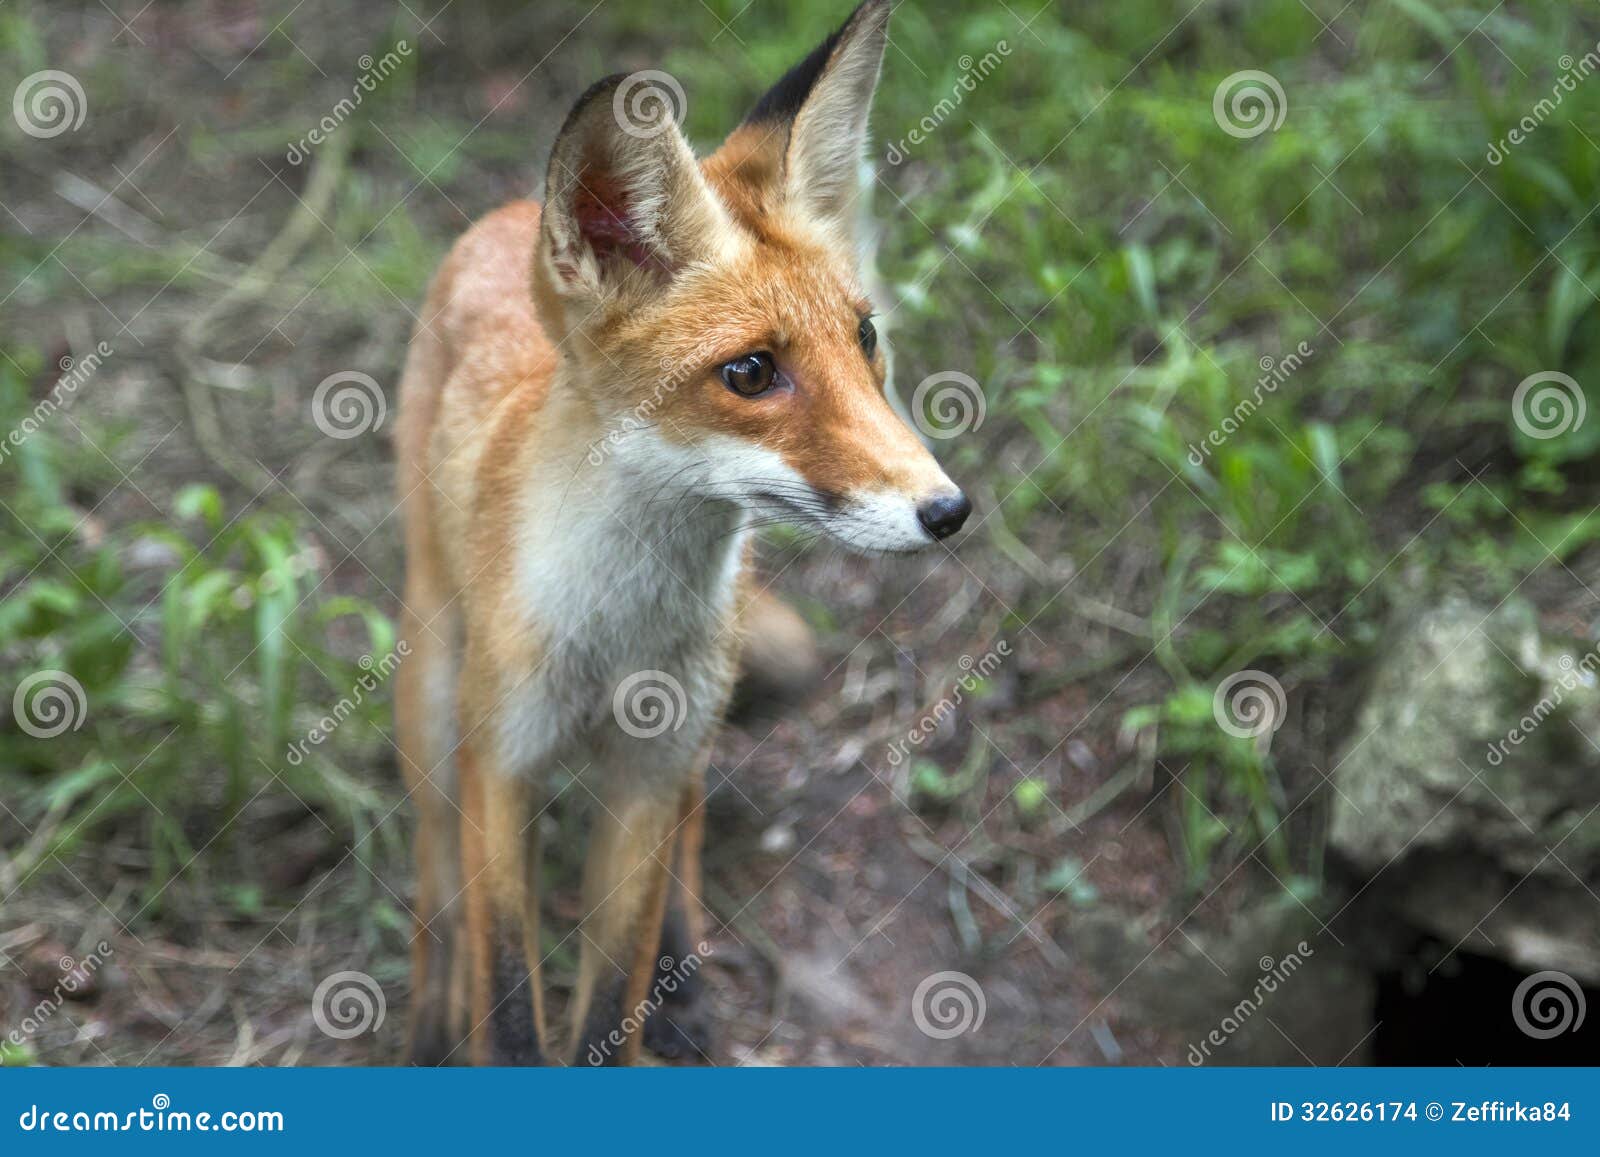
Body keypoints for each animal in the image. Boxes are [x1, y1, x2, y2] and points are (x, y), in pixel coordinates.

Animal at [393, 0, 970, 1066]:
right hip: (434, 678)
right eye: (750, 373)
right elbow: (510, 998)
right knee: (433, 856)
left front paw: (648, 991)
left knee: (689, 828)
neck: (619, 637)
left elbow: (606, 996)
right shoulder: (504, 762)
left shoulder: (649, 772)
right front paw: (478, 1023)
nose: (948, 510)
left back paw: (683, 975)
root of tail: (506, 215)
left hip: (695, 719)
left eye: (865, 338)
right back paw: (428, 1012)